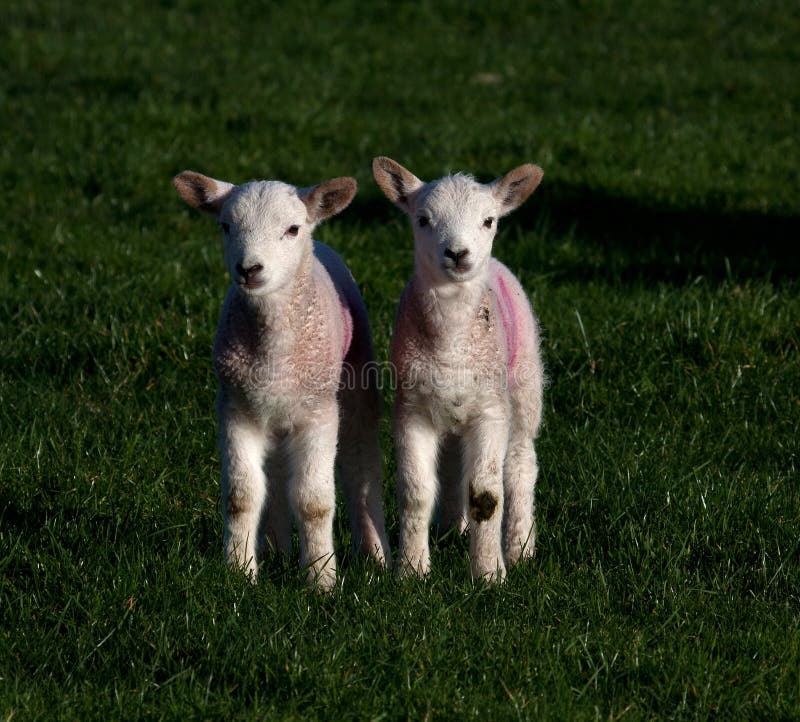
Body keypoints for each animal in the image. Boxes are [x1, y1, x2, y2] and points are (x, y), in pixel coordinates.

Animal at [173, 170, 390, 590]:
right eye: (225, 226)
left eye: (291, 229)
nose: (249, 269)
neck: (272, 352)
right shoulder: (235, 408)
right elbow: (241, 496)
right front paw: (239, 573)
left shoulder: (318, 414)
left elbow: (314, 502)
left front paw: (322, 579)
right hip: (269, 413)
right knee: (272, 477)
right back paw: (276, 551)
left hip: (355, 381)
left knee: (361, 463)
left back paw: (376, 557)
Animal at [372, 157, 545, 582]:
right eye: (422, 220)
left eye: (488, 220)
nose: (458, 253)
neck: (451, 340)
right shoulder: (412, 410)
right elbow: (416, 491)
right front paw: (412, 571)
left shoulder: (491, 412)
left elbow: (486, 495)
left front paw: (489, 575)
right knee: (452, 464)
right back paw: (454, 527)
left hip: (524, 387)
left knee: (520, 465)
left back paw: (520, 548)